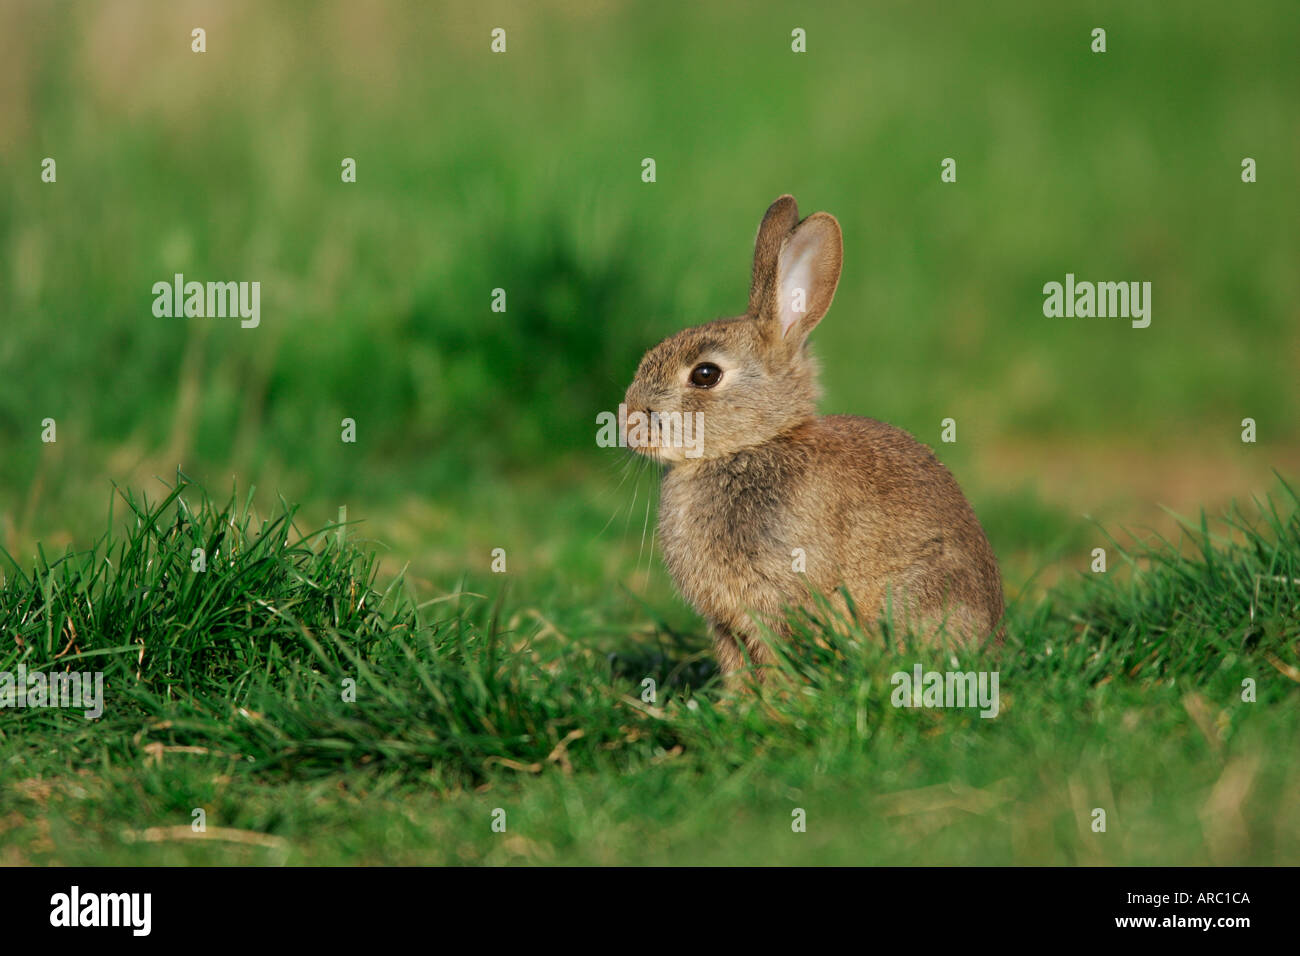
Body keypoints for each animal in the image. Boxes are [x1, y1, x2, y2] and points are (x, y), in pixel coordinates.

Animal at [622, 194, 1004, 681]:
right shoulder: (726, 624)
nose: (627, 421)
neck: (752, 444)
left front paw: (777, 696)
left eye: (705, 374)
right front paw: (738, 699)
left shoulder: (778, 601)